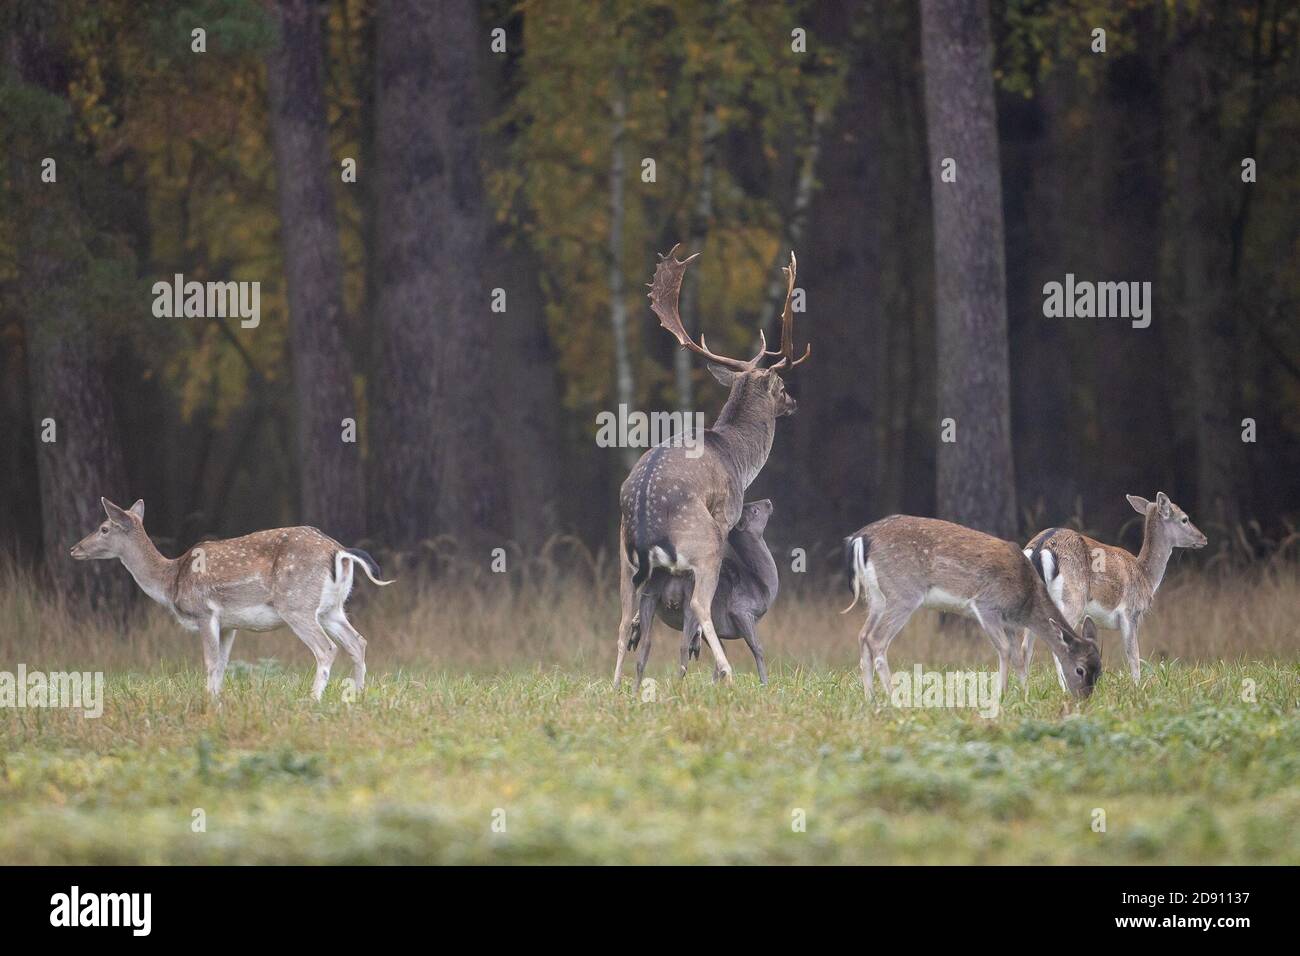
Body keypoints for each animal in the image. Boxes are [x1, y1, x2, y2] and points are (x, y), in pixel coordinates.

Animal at [70, 498, 392, 700]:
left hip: (296, 605)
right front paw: (217, 700)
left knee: (326, 648)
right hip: (331, 609)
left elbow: (210, 662)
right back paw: (357, 696)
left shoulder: (205, 612)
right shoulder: (229, 624)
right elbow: (223, 664)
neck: (171, 581)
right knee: (357, 642)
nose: (74, 548)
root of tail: (340, 551)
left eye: (104, 528)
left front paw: (209, 703)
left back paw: (314, 699)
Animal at [629, 498, 779, 686]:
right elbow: (757, 648)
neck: (761, 584)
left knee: (647, 644)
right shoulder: (741, 610)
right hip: (690, 604)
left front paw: (713, 684)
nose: (768, 501)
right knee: (683, 646)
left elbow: (721, 652)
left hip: (651, 595)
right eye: (755, 510)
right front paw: (764, 683)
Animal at [842, 515, 1102, 702]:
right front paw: (1002, 695)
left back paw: (870, 698)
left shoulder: (1009, 622)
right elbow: (1004, 649)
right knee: (876, 639)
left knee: (863, 634)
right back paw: (893, 696)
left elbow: (1018, 657)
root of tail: (860, 538)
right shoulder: (986, 605)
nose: (1084, 699)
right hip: (903, 593)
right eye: (1080, 670)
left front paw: (1026, 695)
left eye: (1099, 671)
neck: (1026, 602)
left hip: (876, 596)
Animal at [1021, 492, 1207, 685]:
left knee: (1025, 647)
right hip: (1072, 600)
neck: (1145, 575)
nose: (1203, 538)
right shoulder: (1130, 612)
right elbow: (1134, 656)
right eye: (1185, 519)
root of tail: (1041, 547)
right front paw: (1137, 687)